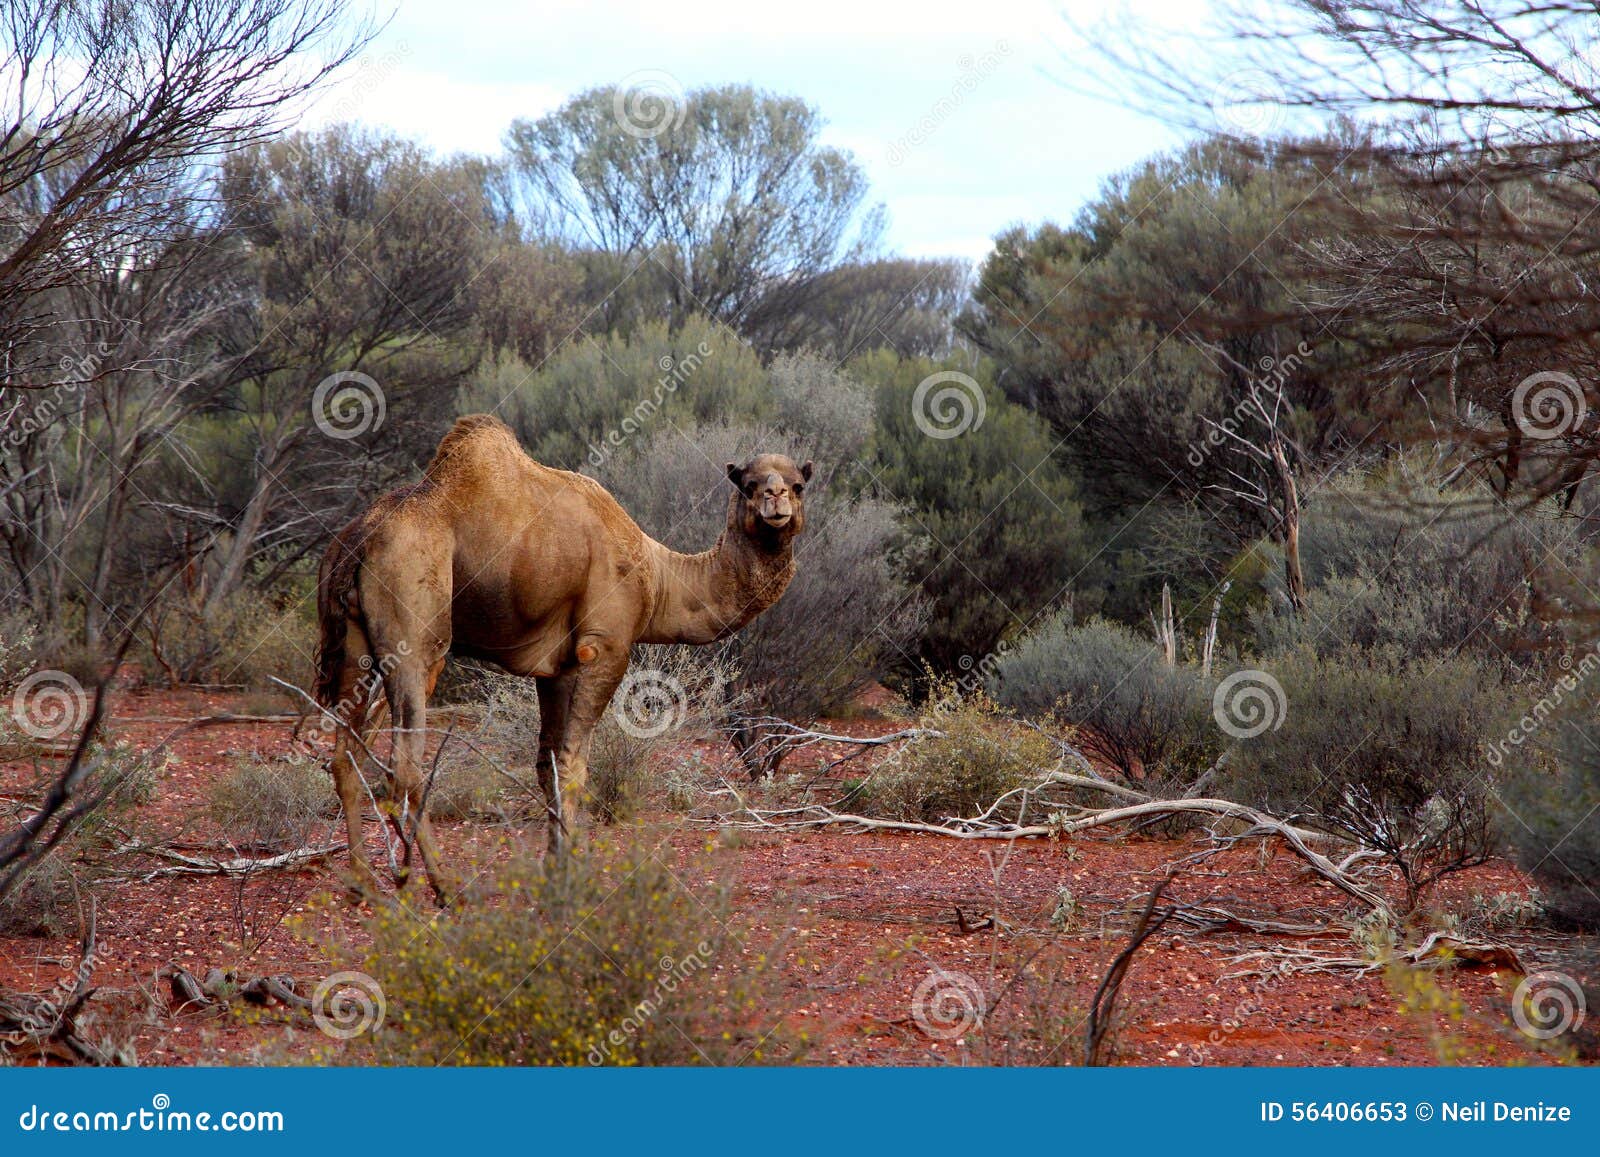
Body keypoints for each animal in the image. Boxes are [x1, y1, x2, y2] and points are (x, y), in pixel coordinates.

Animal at [313, 413, 811, 901]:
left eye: (799, 484)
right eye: (748, 483)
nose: (775, 499)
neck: (657, 578)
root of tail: (357, 540)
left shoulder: (558, 667)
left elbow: (546, 765)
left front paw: (554, 868)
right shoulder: (605, 647)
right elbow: (573, 767)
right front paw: (576, 877)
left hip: (354, 646)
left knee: (345, 756)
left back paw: (363, 882)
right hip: (416, 631)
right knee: (404, 765)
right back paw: (442, 885)